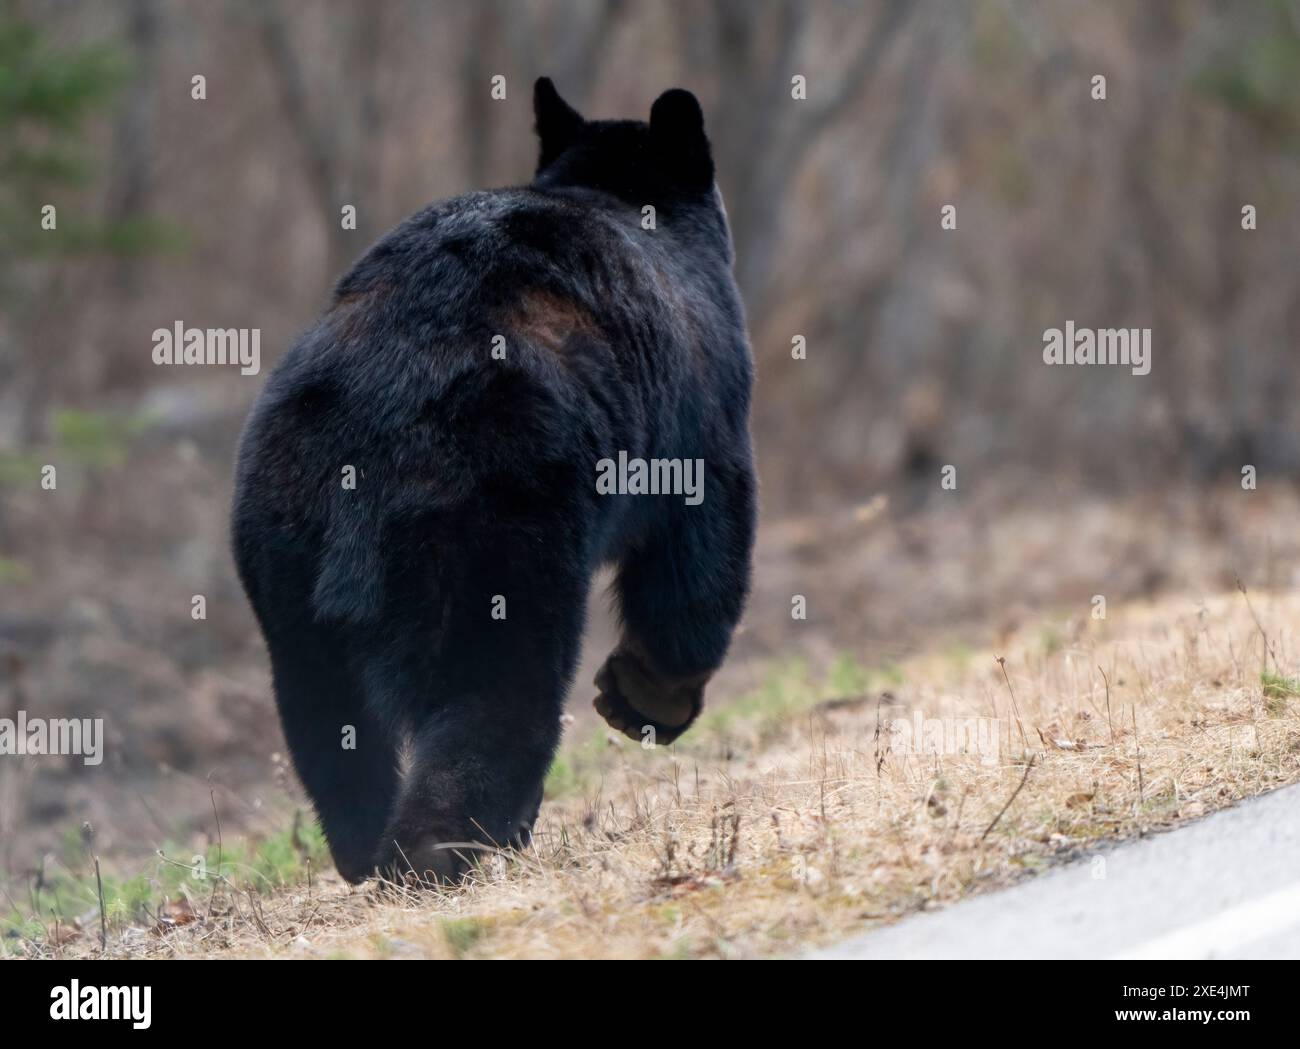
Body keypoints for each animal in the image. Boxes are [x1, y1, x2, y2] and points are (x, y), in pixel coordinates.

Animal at [231, 78, 756, 884]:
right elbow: (701, 546)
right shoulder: (700, 400)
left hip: (280, 535)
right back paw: (448, 845)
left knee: (324, 710)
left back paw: (364, 846)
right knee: (496, 683)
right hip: (494, 512)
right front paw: (641, 696)